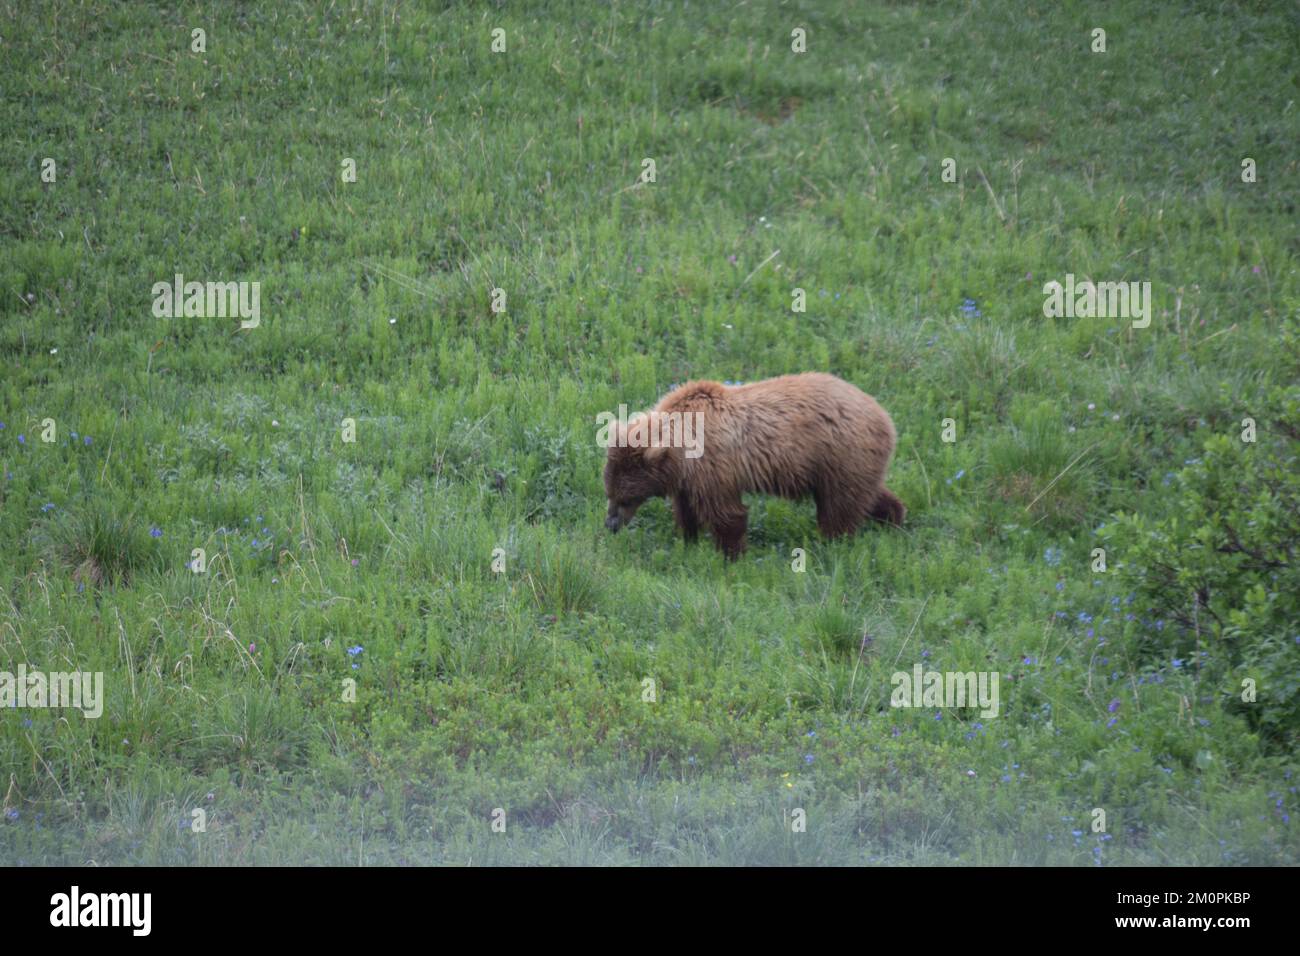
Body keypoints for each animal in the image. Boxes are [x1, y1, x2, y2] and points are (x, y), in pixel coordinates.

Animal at [603, 372, 904, 559]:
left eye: (625, 498)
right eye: (610, 494)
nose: (611, 525)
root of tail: (885, 416)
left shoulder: (714, 466)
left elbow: (726, 513)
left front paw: (730, 555)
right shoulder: (688, 477)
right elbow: (687, 508)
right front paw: (689, 540)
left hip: (839, 454)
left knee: (839, 507)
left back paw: (833, 543)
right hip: (847, 462)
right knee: (866, 494)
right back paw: (894, 517)